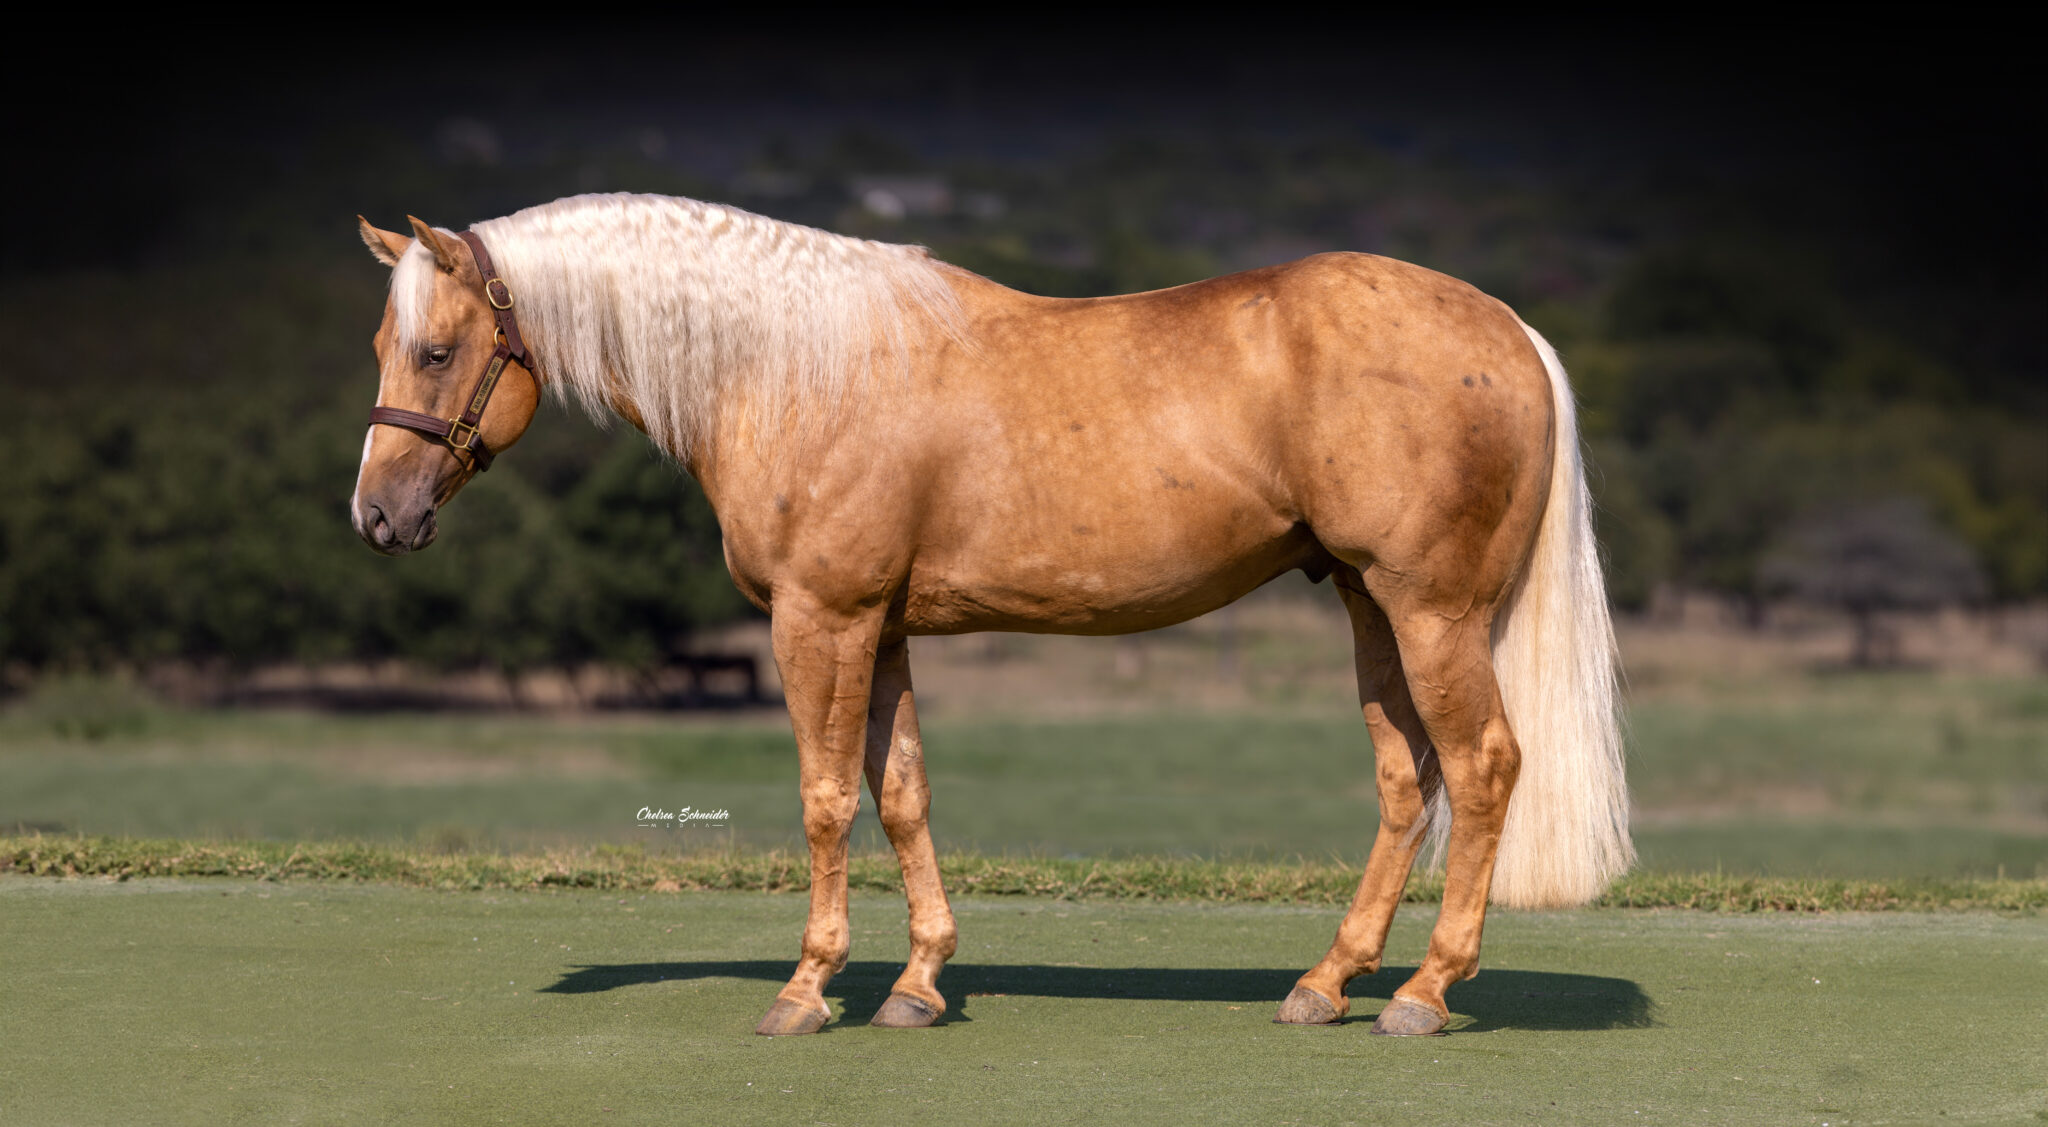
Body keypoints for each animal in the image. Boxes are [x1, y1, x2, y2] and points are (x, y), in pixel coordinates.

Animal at [351, 192, 1630, 1037]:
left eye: (438, 348)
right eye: (383, 343)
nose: (376, 514)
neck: (795, 366)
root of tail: (1511, 329)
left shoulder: (821, 620)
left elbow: (825, 798)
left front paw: (806, 988)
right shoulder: (883, 627)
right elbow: (901, 790)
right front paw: (918, 983)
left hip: (1430, 610)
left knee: (1482, 765)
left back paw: (1421, 991)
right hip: (1371, 606)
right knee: (1407, 778)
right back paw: (1327, 982)